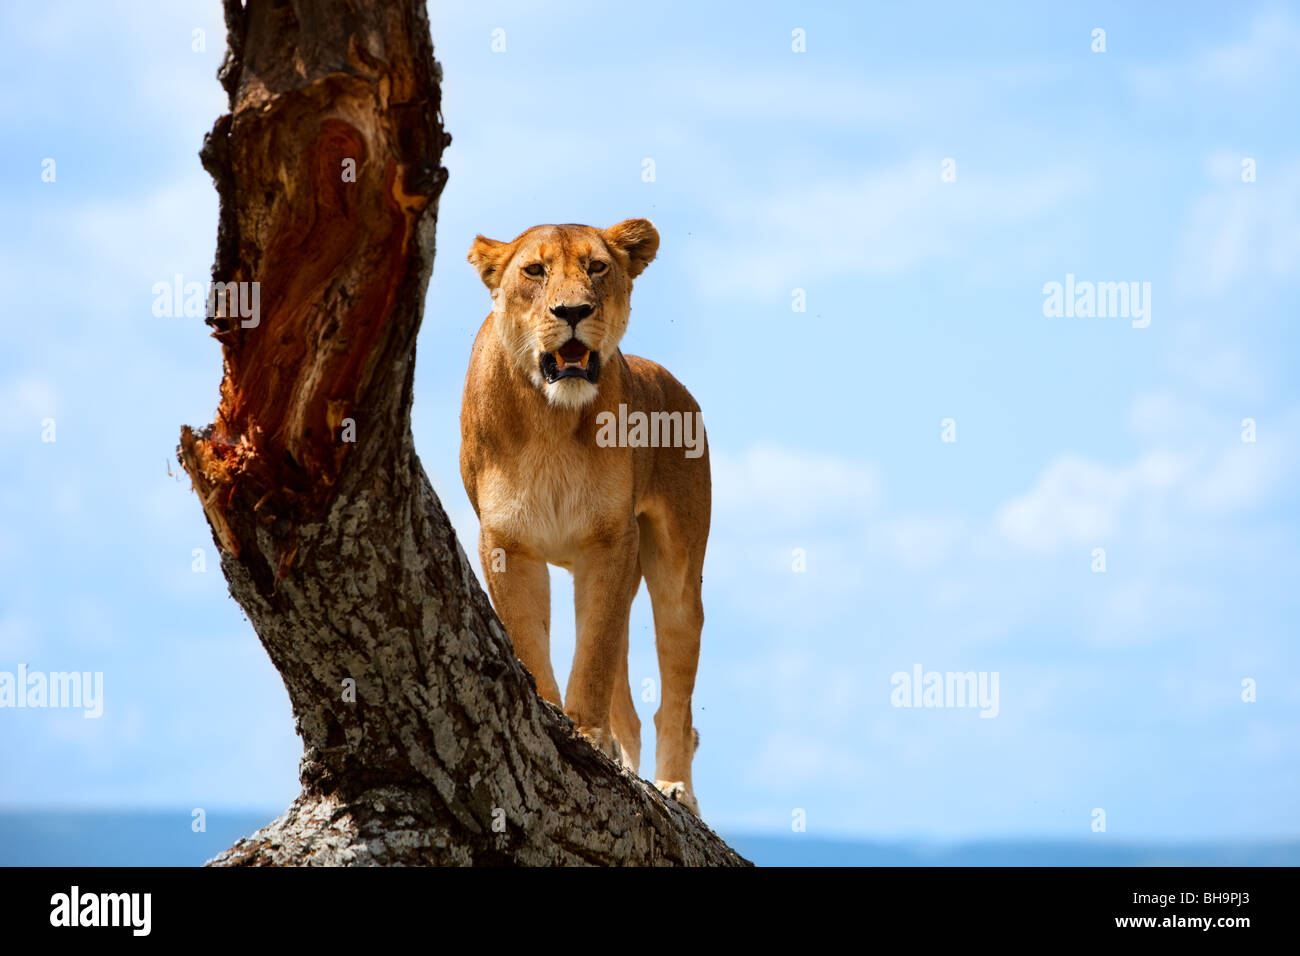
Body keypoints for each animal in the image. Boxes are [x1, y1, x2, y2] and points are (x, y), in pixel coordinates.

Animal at [459, 219, 710, 815]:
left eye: (597, 267)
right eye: (534, 270)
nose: (572, 310)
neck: (552, 420)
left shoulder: (610, 541)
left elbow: (593, 656)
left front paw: (587, 736)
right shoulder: (506, 543)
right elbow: (530, 640)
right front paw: (552, 718)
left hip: (675, 573)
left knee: (675, 703)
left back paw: (674, 788)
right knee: (633, 710)